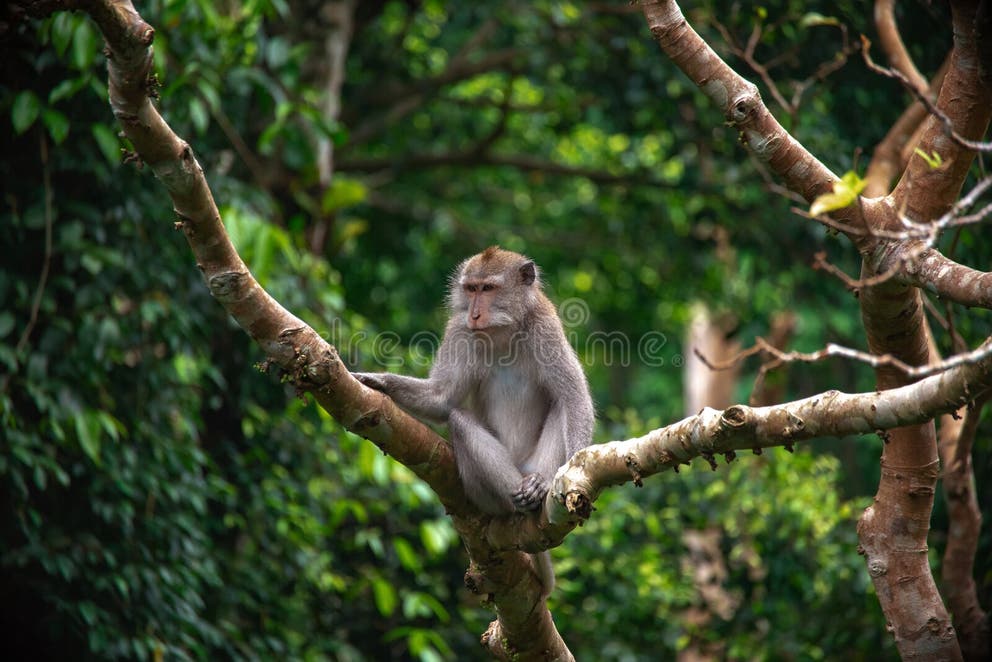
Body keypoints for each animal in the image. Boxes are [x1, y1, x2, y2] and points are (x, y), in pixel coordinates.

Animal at [352, 246, 594, 596]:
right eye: (471, 289)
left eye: (488, 288)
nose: (475, 314)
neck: (502, 330)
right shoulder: (459, 329)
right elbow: (441, 399)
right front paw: (378, 382)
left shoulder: (545, 326)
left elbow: (574, 400)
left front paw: (567, 475)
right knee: (459, 420)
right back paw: (518, 501)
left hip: (531, 461)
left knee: (561, 407)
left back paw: (540, 485)